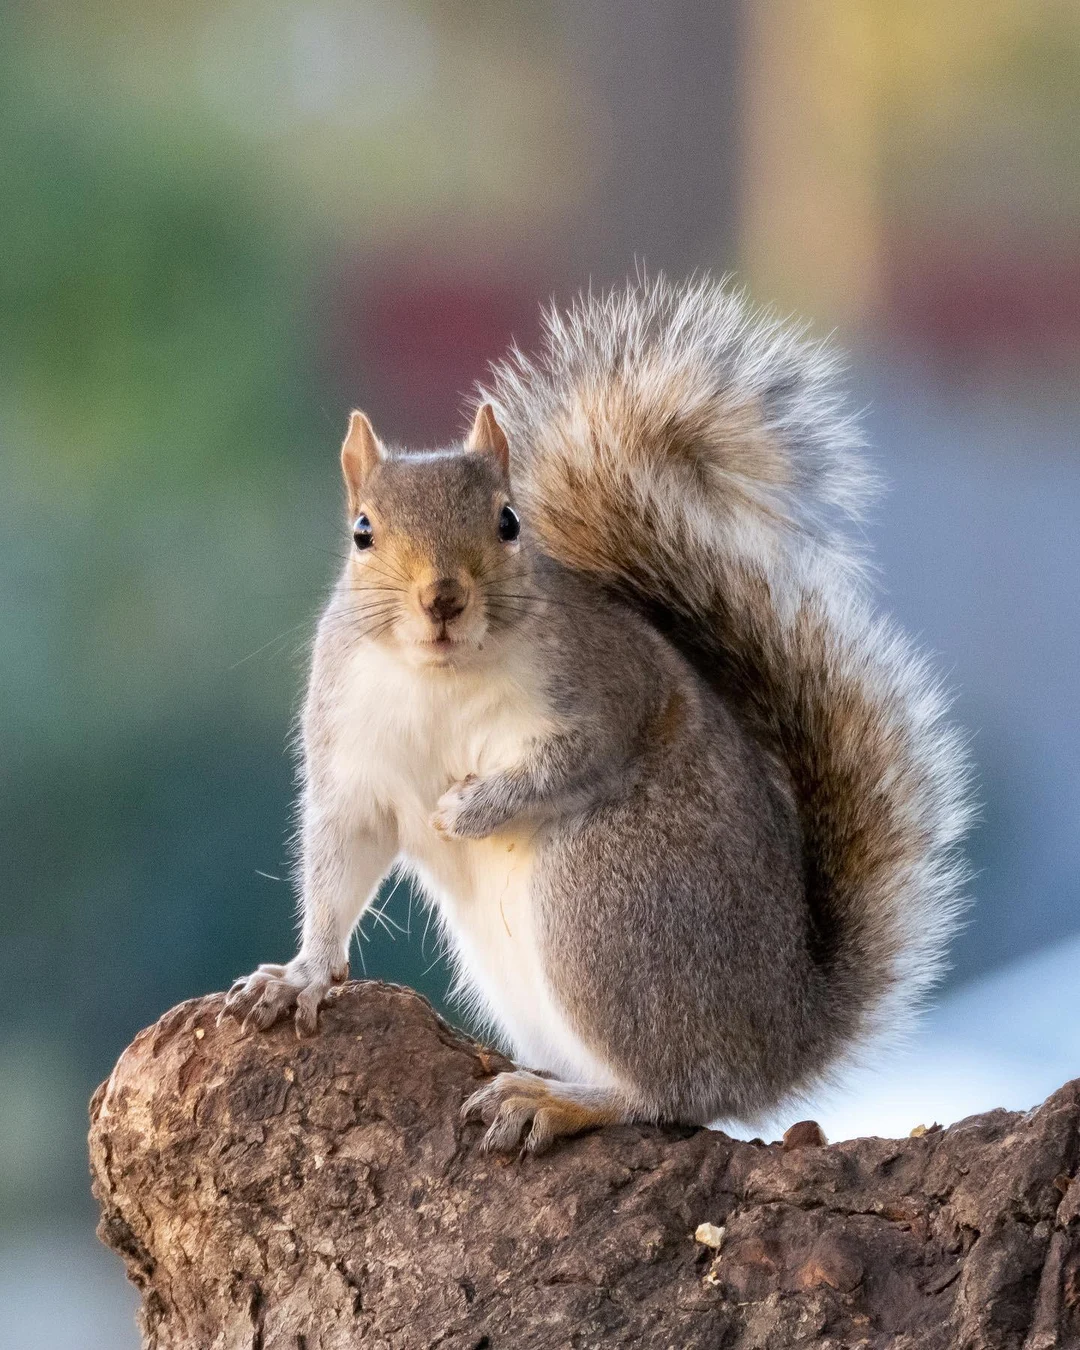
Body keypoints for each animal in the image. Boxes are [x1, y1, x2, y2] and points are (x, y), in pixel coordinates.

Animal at [222, 275, 972, 1152]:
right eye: (362, 532)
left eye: (509, 521)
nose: (443, 598)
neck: (443, 678)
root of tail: (779, 1041)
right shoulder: (352, 756)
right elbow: (342, 860)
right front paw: (301, 974)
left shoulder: (612, 692)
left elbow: (575, 761)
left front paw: (471, 809)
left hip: (605, 901)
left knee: (672, 1092)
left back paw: (560, 1102)